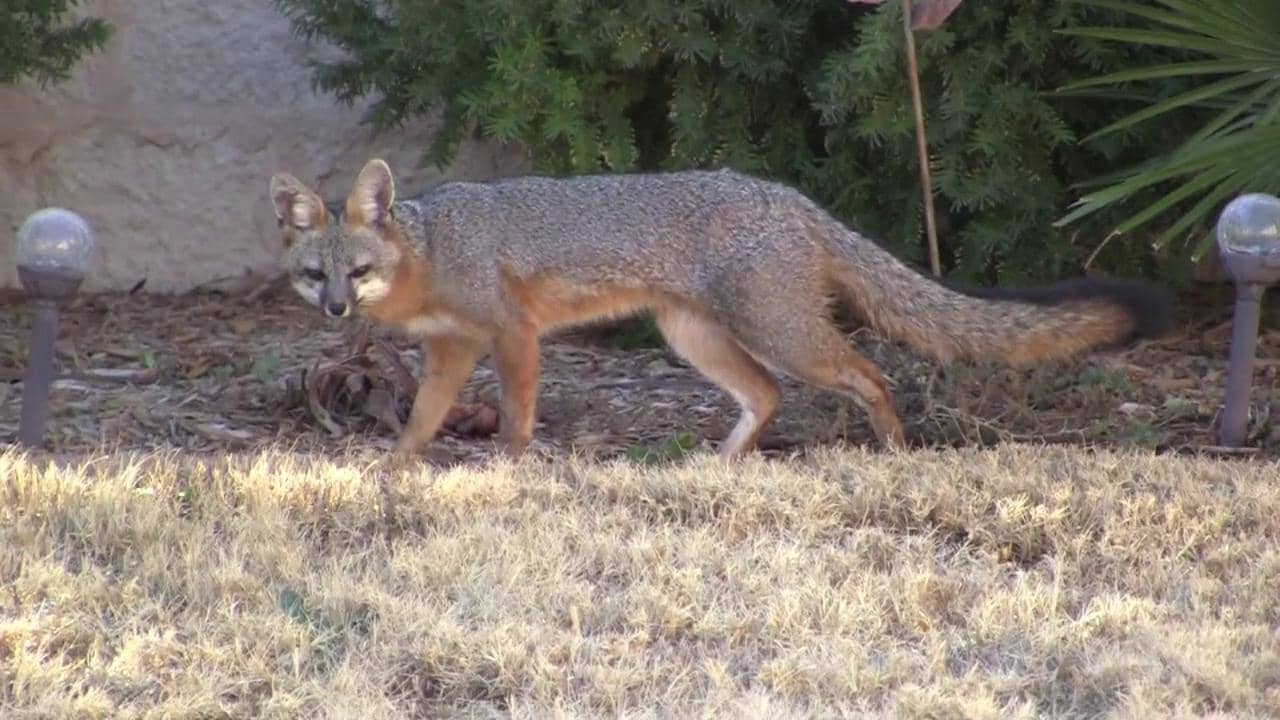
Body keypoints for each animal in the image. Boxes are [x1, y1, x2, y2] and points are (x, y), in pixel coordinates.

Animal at [268, 157, 1173, 460]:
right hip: (695, 339)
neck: (429, 253)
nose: (338, 313)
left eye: (358, 269)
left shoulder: (513, 334)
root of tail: (787, 195)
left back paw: (894, 451)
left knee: (869, 374)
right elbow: (421, 421)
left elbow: (519, 418)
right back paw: (721, 465)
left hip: (782, 334)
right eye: (317, 276)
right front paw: (394, 472)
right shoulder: (452, 350)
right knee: (767, 396)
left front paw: (511, 472)